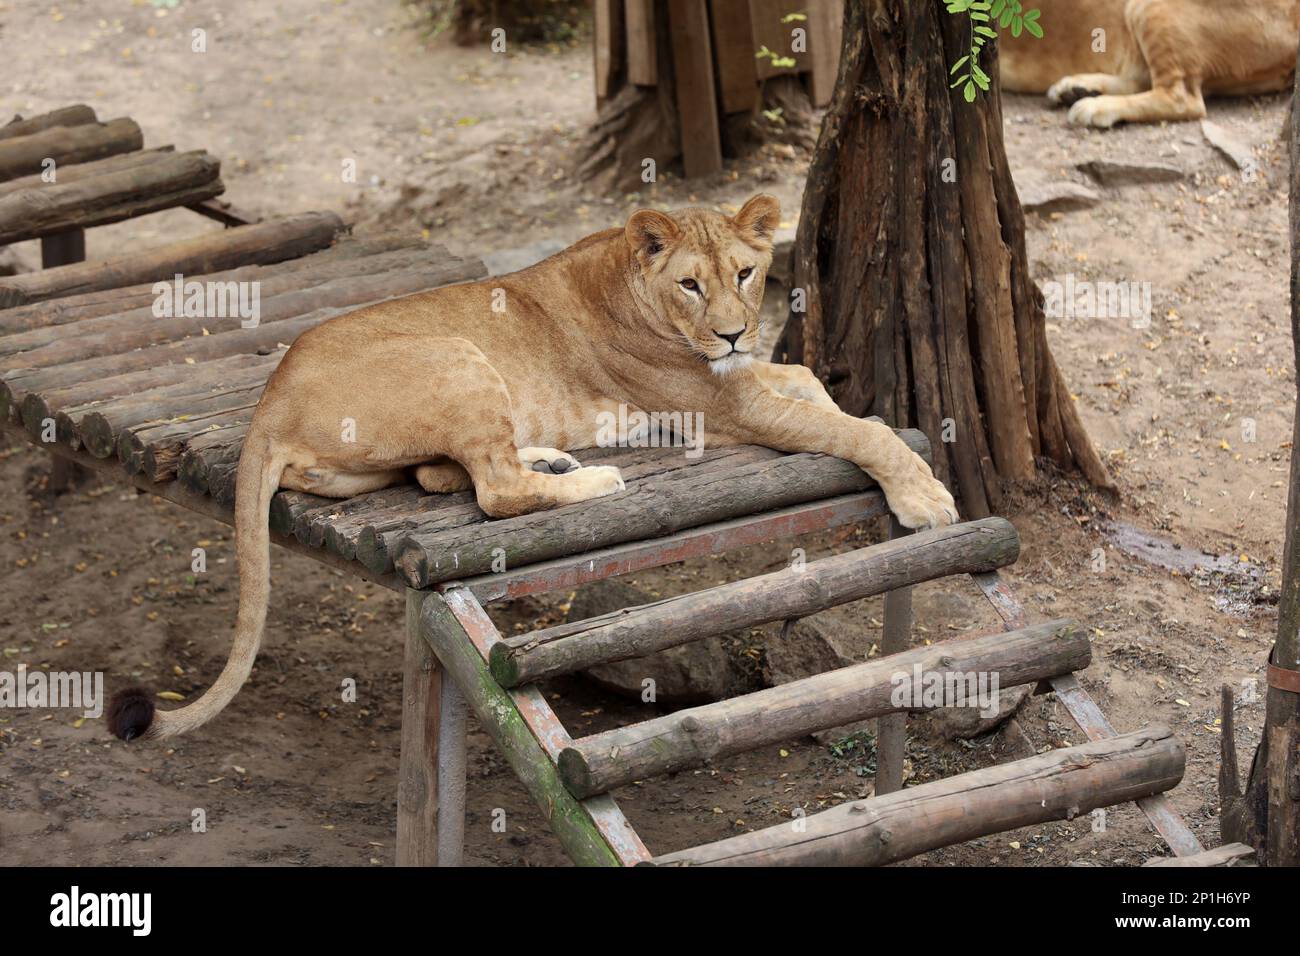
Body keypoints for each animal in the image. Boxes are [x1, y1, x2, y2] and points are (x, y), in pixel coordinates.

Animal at [106, 194, 957, 742]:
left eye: (745, 274)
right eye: (691, 283)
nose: (731, 333)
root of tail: (270, 400)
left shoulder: (744, 378)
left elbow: (814, 385)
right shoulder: (725, 407)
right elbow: (848, 430)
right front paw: (925, 495)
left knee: (443, 476)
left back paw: (550, 456)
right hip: (458, 353)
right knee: (494, 491)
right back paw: (591, 480)